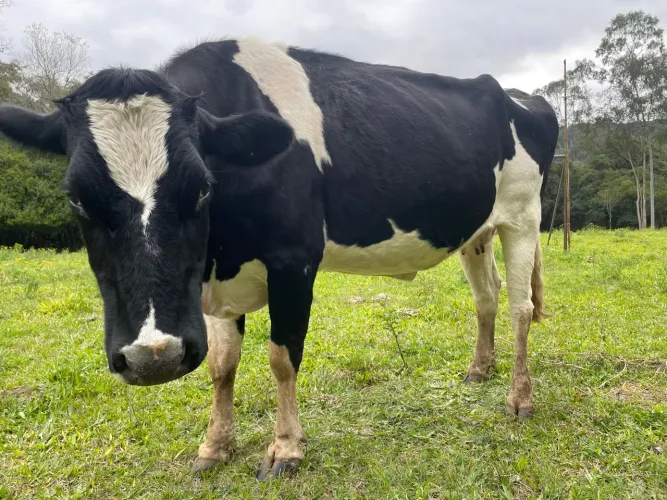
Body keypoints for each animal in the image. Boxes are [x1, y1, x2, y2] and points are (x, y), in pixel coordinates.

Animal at [0, 36, 558, 479]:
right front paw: (215, 446)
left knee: (520, 308)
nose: (151, 357)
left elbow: (282, 357)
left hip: (523, 216)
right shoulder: (211, 277)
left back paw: (520, 398)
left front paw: (286, 449)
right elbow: (222, 363)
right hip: (476, 231)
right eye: (76, 197)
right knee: (486, 298)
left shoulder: (294, 261)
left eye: (201, 187)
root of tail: (516, 92)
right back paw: (479, 369)